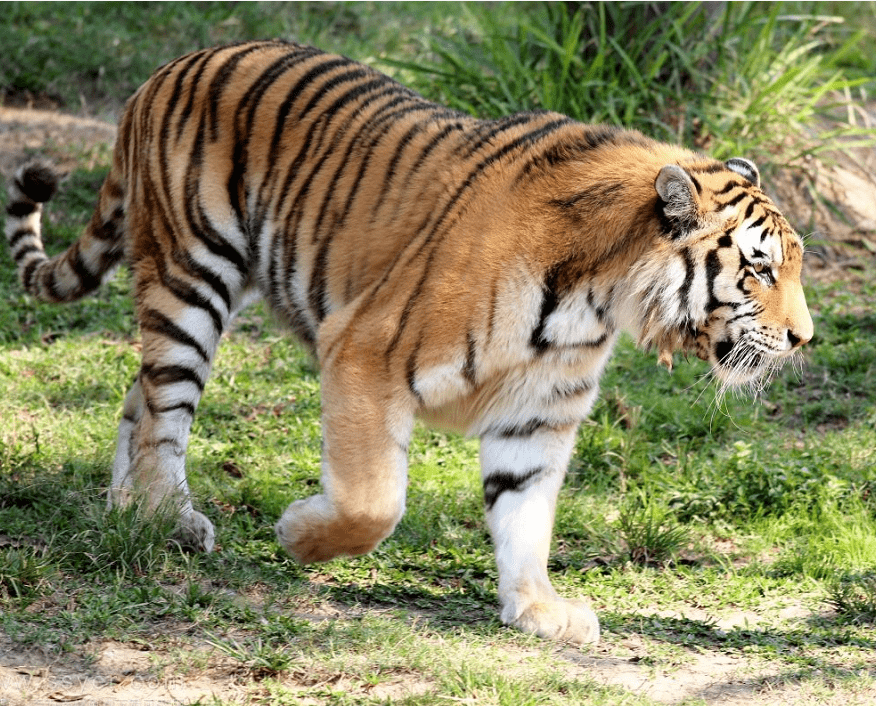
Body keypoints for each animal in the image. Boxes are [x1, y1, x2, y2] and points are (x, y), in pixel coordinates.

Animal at [4, 40, 812, 645]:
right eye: (760, 266)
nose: (805, 338)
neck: (596, 297)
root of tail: (167, 69)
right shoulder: (364, 352)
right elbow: (373, 504)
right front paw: (299, 536)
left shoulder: (540, 412)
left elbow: (526, 515)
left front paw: (538, 608)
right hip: (192, 277)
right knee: (164, 409)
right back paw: (167, 516)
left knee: (136, 395)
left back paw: (128, 509)